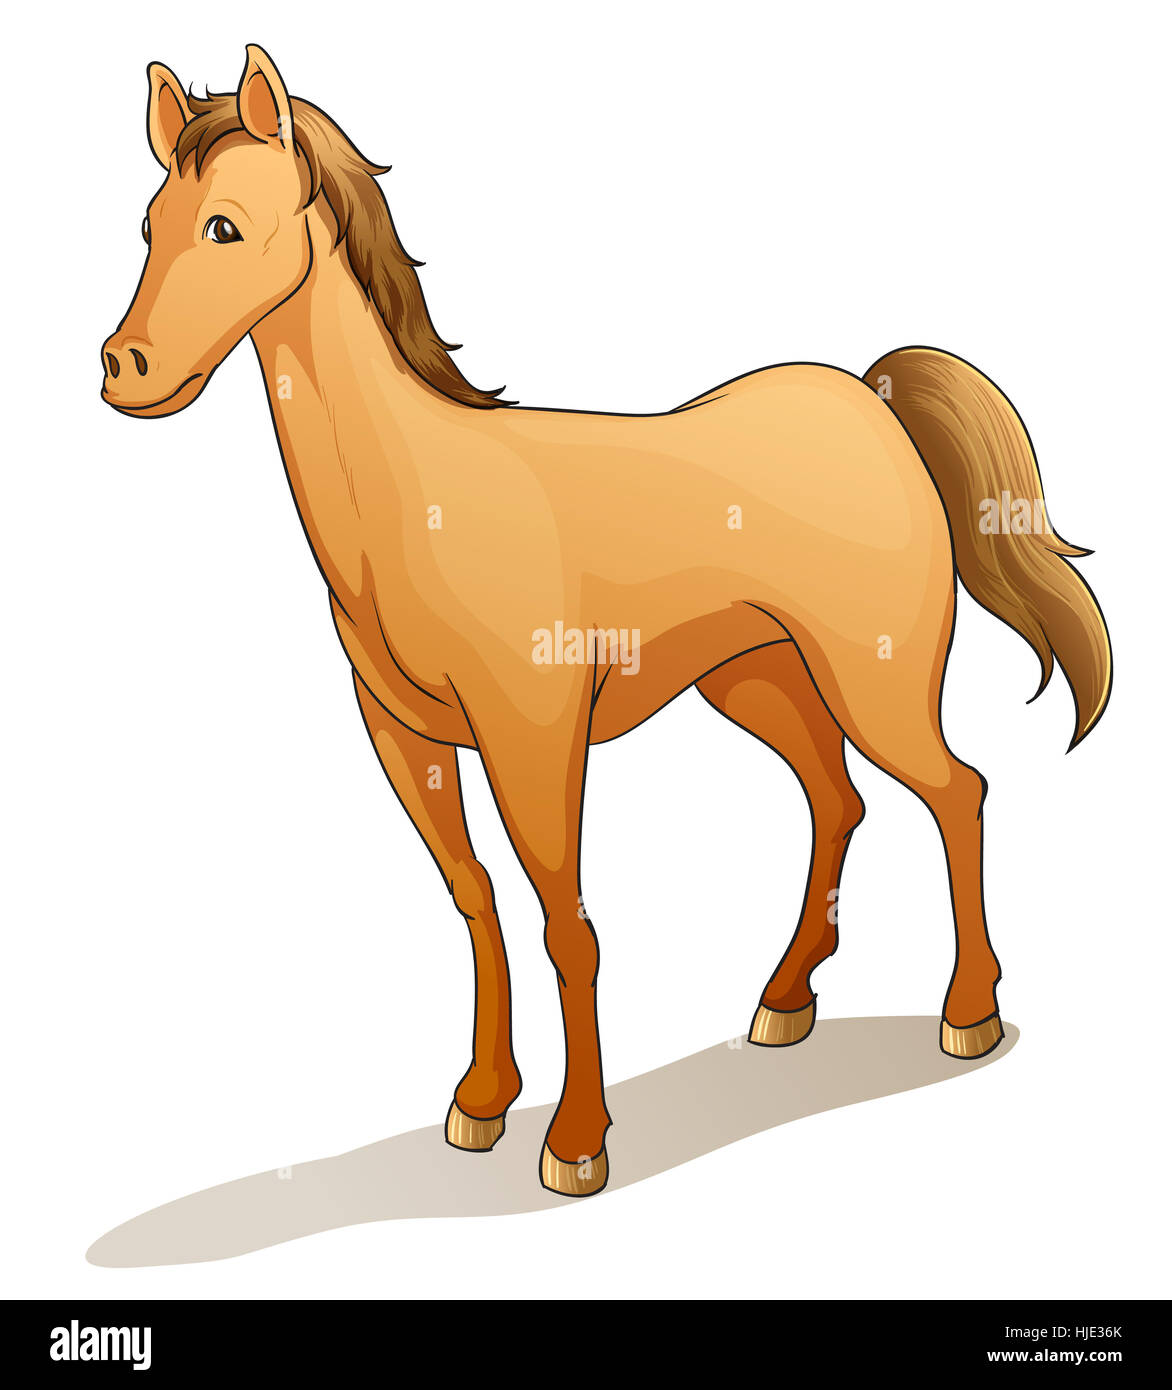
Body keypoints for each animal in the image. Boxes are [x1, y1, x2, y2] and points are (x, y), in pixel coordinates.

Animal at [101, 45, 1111, 1197]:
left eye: (225, 227)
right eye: (150, 225)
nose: (123, 369)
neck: (419, 498)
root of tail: (870, 398)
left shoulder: (536, 740)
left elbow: (565, 925)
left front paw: (576, 1141)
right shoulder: (406, 738)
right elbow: (477, 901)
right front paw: (481, 1101)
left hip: (875, 680)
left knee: (955, 793)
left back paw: (968, 1012)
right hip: (758, 678)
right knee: (837, 801)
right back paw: (785, 1001)